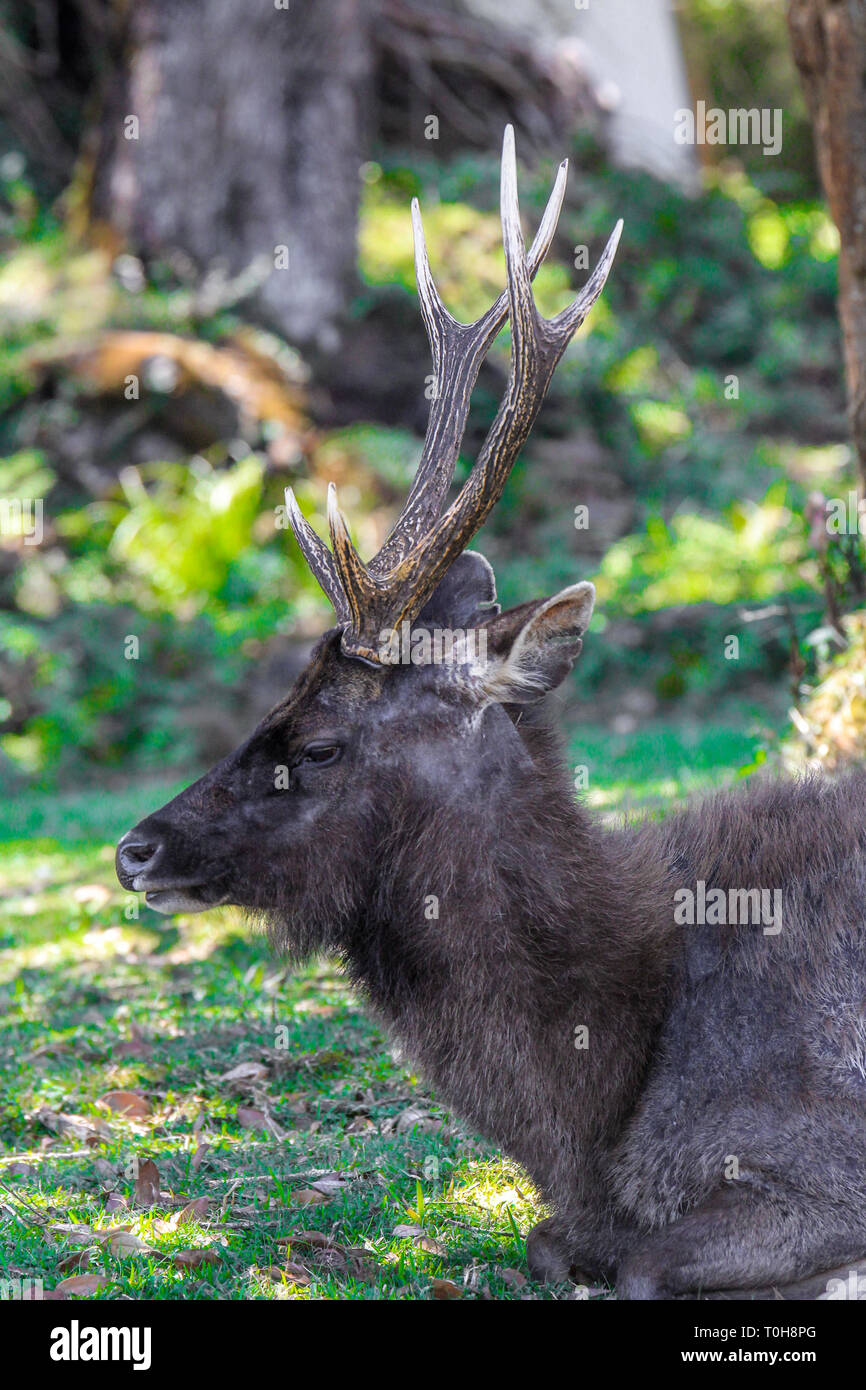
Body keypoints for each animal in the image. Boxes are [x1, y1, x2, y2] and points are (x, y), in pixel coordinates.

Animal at [116, 128, 866, 1300]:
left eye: (319, 742)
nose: (135, 849)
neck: (595, 1095)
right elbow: (547, 1242)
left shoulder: (820, 1158)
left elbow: (640, 1265)